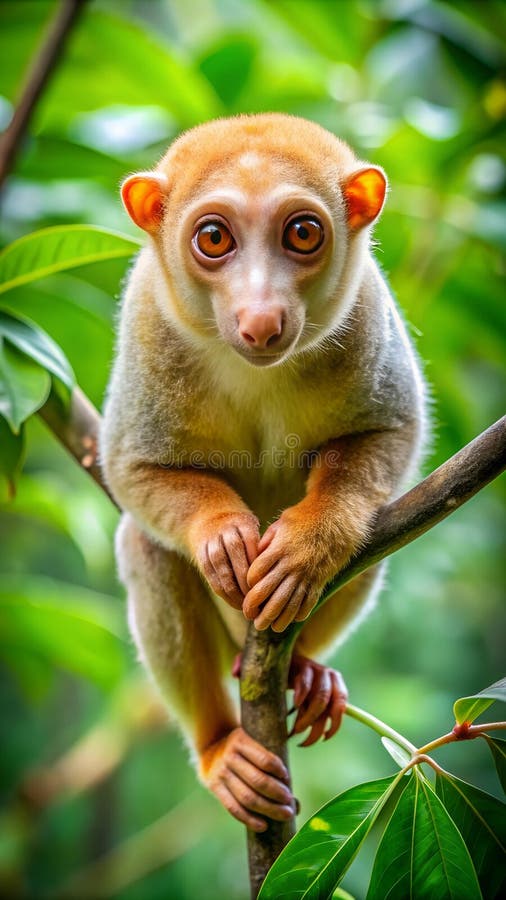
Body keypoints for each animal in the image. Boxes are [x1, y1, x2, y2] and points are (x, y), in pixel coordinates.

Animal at [100, 113, 427, 833]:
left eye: (302, 233)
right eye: (214, 238)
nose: (260, 318)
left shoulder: (367, 314)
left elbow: (393, 431)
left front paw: (306, 547)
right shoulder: (146, 325)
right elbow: (131, 466)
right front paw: (221, 535)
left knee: (381, 533)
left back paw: (307, 670)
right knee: (144, 546)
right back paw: (222, 748)